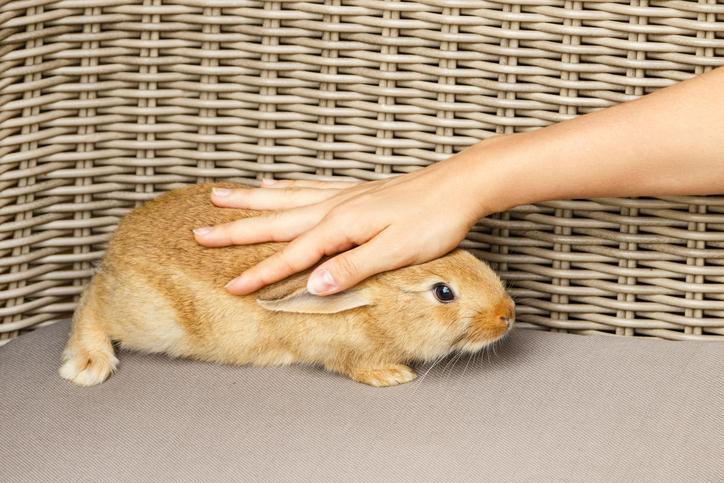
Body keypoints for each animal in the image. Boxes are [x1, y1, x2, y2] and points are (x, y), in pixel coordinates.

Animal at [59, 182, 515, 388]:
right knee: (91, 302)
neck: (373, 311)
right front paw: (392, 375)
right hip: (150, 319)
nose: (507, 315)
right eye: (443, 292)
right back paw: (87, 365)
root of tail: (115, 252)